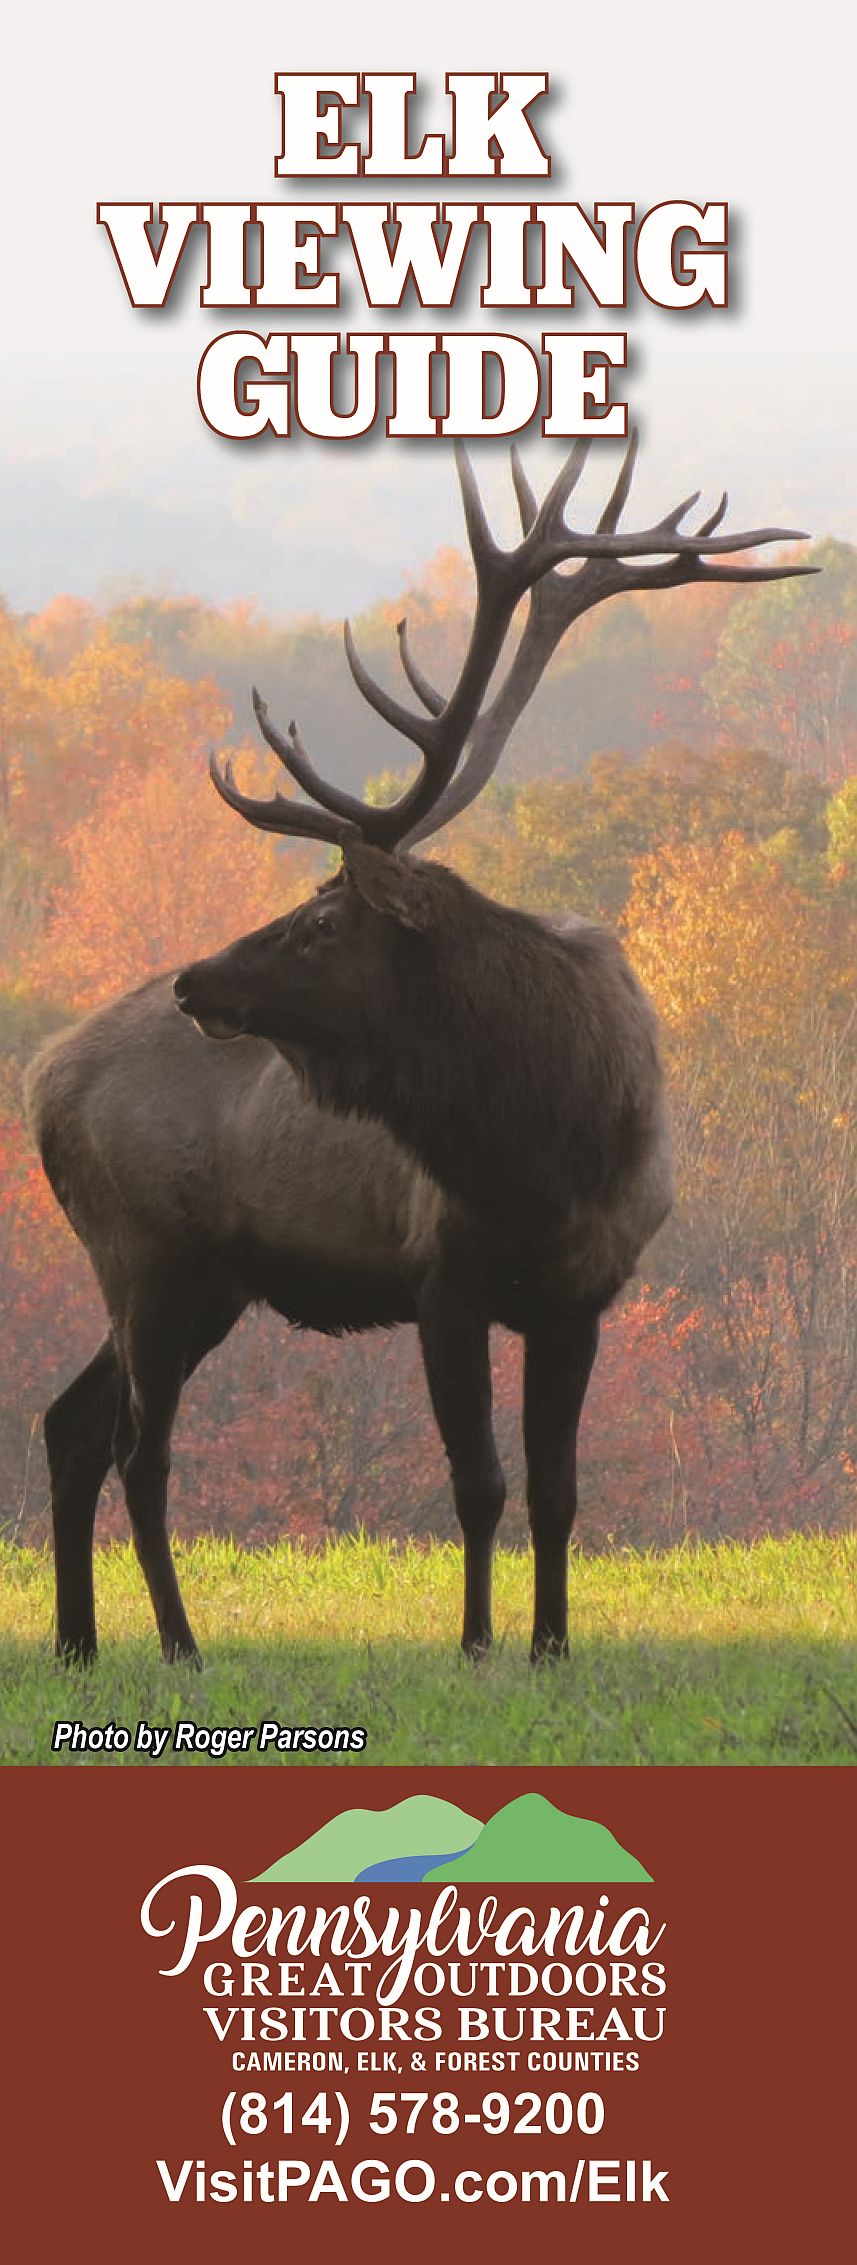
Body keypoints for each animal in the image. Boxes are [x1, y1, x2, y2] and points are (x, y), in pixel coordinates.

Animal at [26, 435, 811, 1668]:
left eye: (320, 922)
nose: (196, 980)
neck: (554, 1148)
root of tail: (40, 1078)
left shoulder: (583, 1293)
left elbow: (556, 1490)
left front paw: (549, 1649)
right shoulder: (442, 1275)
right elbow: (477, 1483)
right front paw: (479, 1648)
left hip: (204, 1280)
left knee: (73, 1423)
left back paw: (80, 1645)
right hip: (141, 1252)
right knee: (137, 1451)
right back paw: (180, 1646)